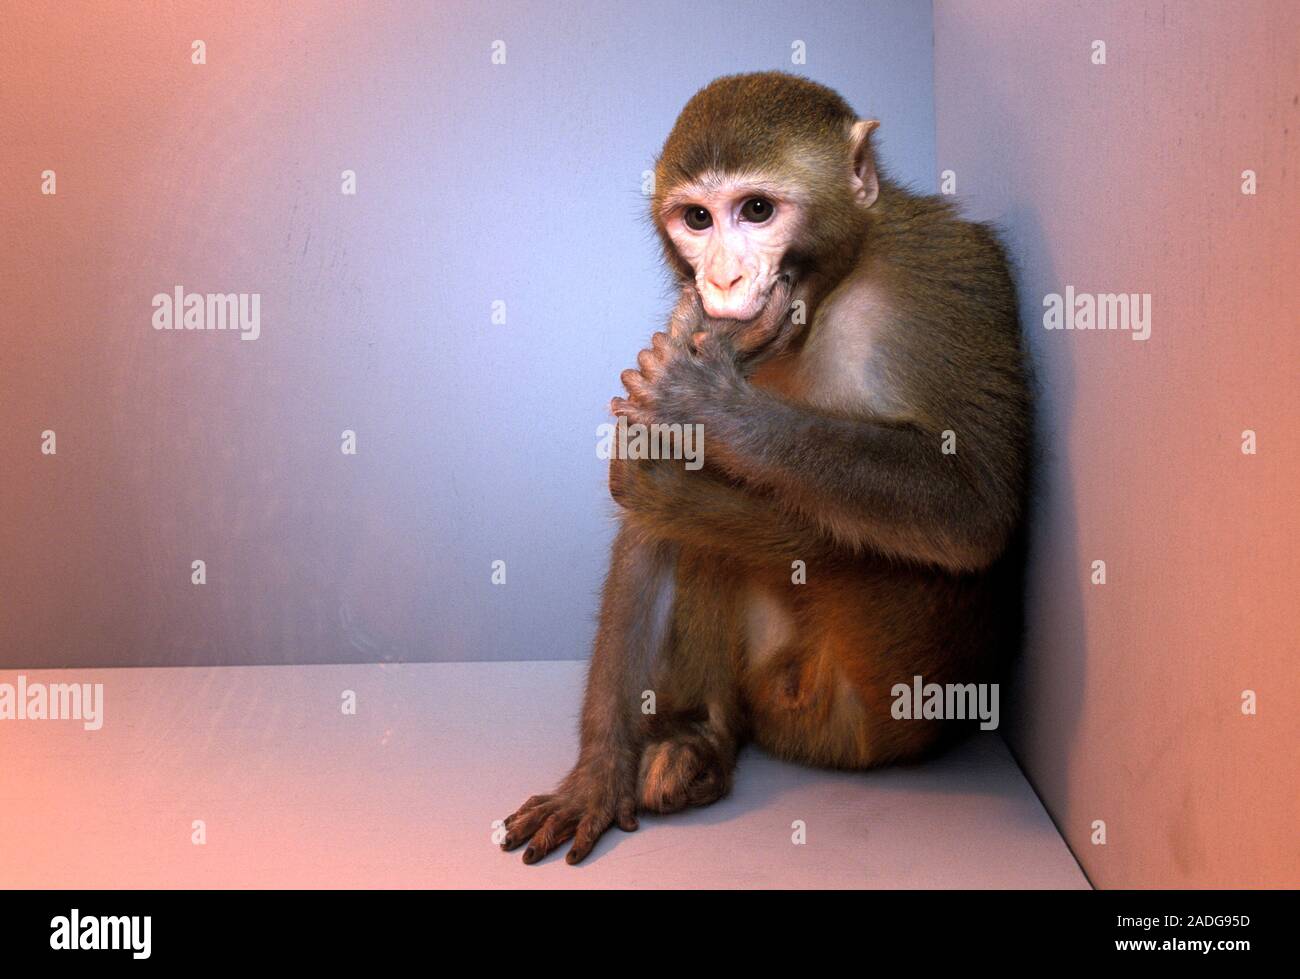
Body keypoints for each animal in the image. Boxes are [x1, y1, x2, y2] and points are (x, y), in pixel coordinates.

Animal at [501, 72, 1030, 865]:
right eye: (697, 219)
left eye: (756, 210)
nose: (721, 278)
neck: (834, 289)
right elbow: (646, 533)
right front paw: (597, 772)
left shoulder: (951, 272)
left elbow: (974, 507)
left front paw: (708, 404)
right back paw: (700, 737)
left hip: (879, 694)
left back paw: (677, 491)